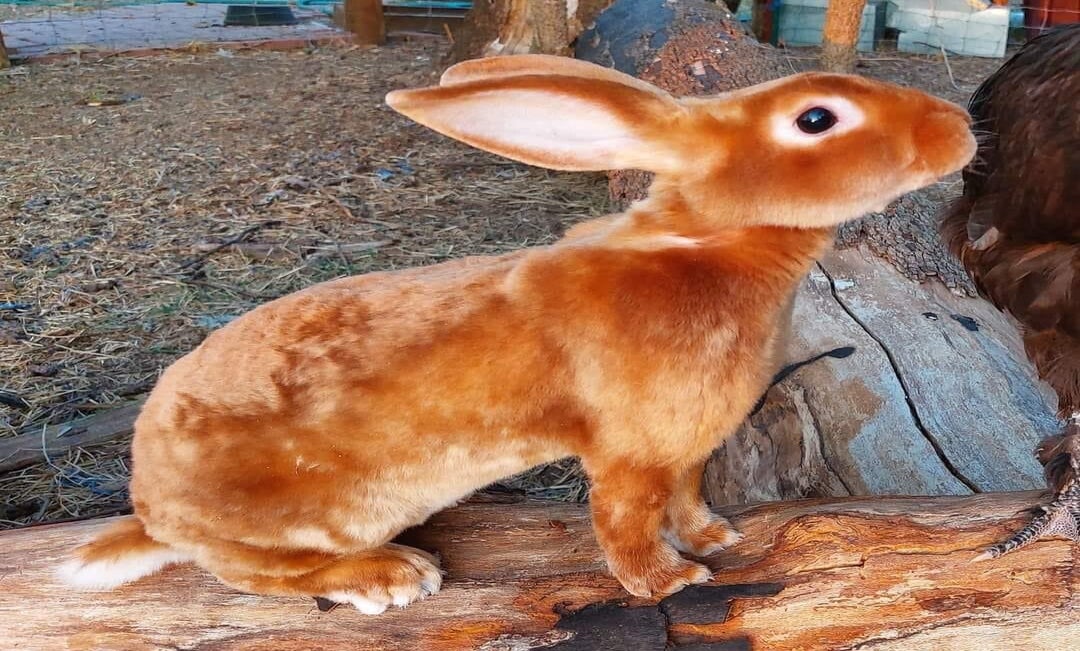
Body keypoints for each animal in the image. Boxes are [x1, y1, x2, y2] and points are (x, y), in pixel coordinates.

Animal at [58, 54, 976, 613]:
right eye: (816, 119)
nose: (959, 129)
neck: (708, 244)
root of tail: (151, 505)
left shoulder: (688, 448)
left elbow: (687, 498)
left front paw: (717, 537)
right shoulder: (631, 450)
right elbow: (626, 520)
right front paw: (670, 581)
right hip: (311, 518)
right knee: (257, 573)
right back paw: (392, 577)